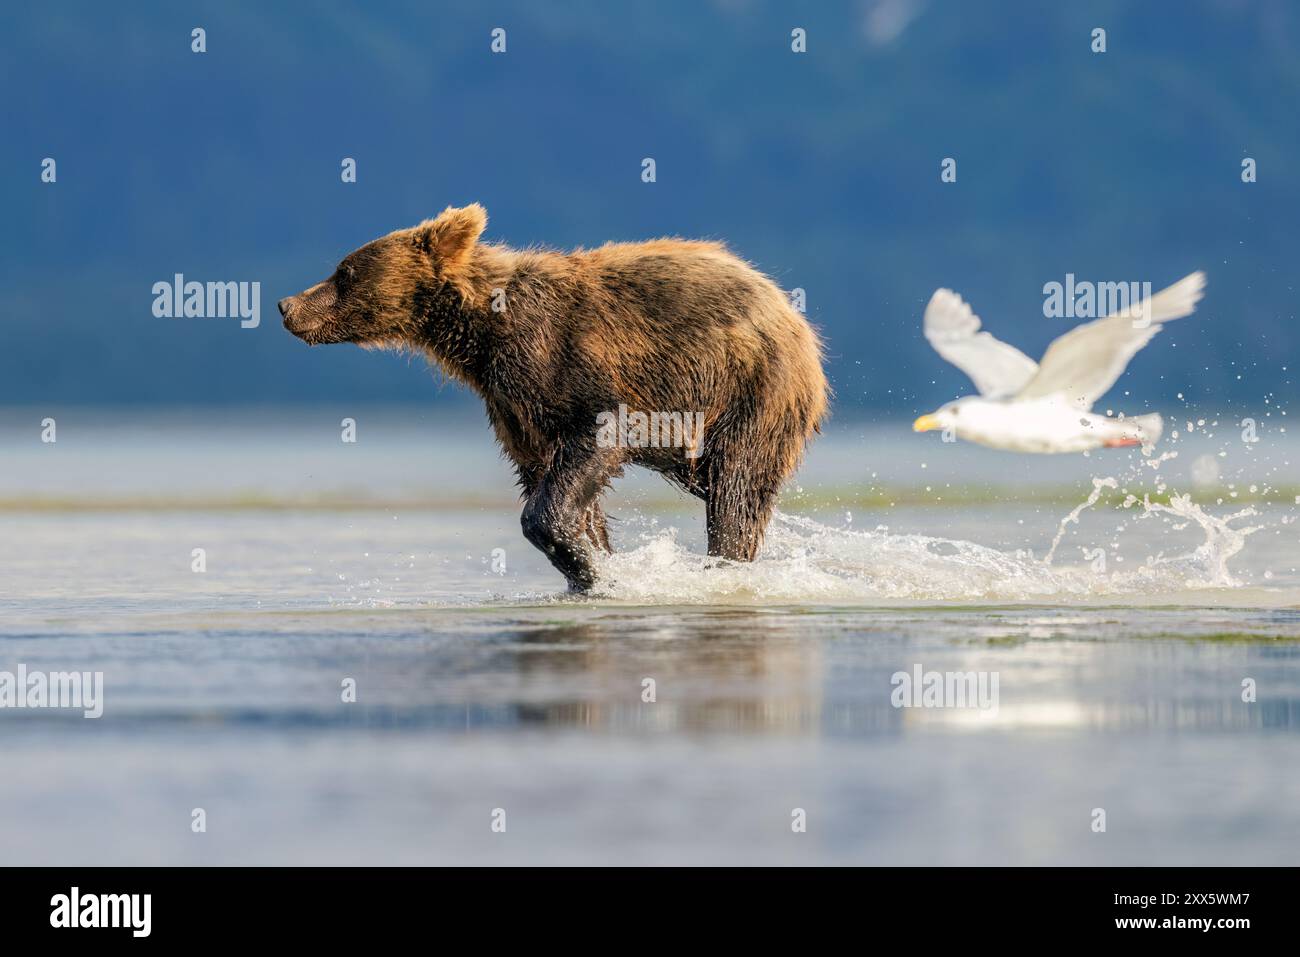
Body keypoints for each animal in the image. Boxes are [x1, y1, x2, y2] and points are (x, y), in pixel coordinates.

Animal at [280, 204, 829, 592]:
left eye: (344, 272)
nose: (287, 305)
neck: (483, 336)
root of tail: (794, 316)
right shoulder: (511, 405)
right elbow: (556, 480)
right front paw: (595, 562)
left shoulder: (565, 361)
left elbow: (594, 441)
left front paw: (588, 566)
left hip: (751, 389)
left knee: (737, 487)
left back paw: (726, 560)